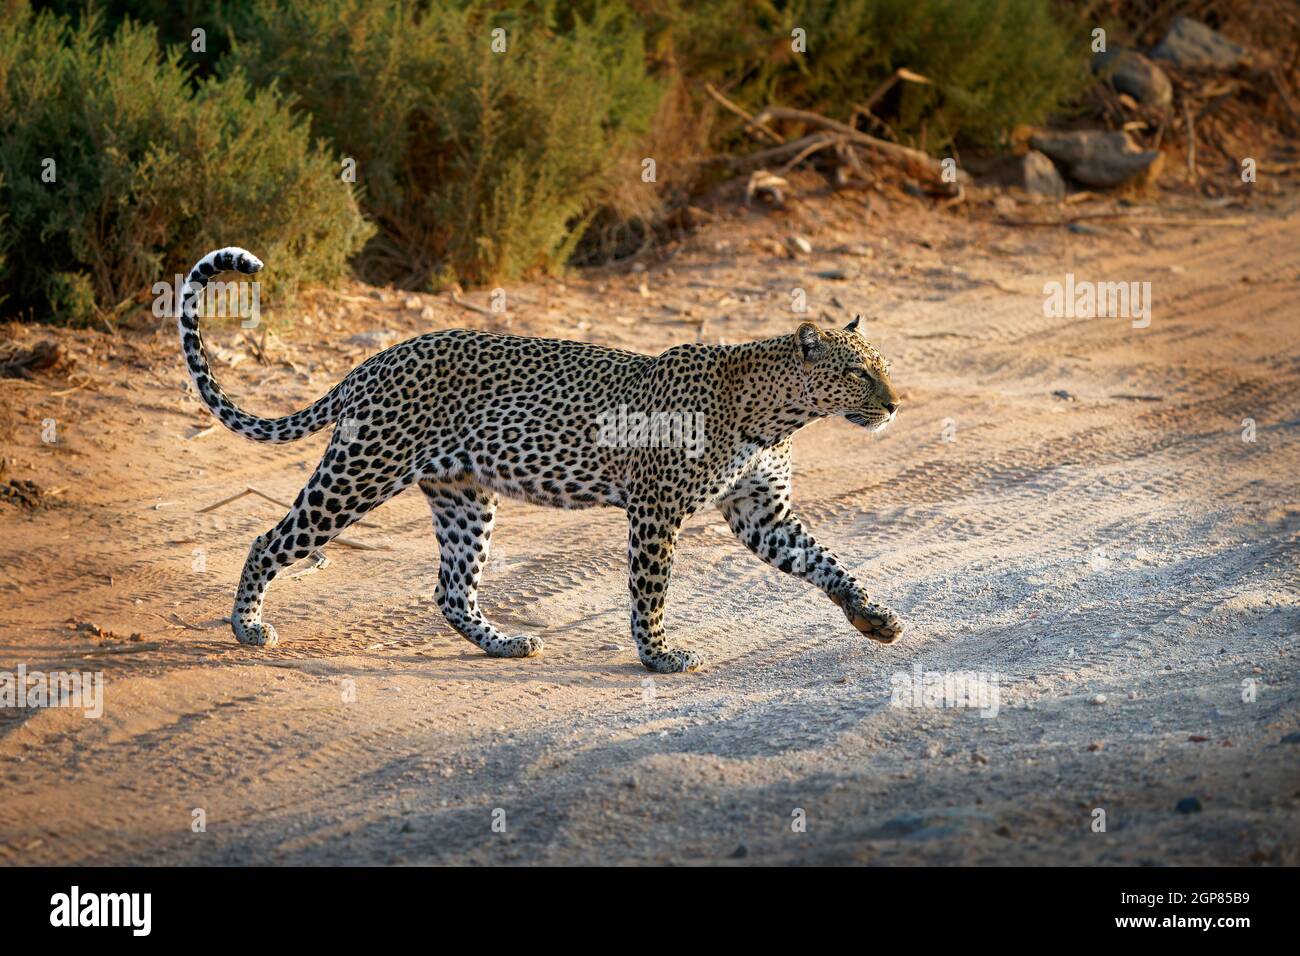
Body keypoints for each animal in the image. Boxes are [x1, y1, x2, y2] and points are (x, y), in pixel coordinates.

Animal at [177, 247, 905, 673]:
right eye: (857, 374)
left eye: (883, 368)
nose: (895, 406)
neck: (776, 414)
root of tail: (371, 362)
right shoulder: (657, 510)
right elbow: (650, 589)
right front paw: (659, 655)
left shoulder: (761, 510)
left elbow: (826, 562)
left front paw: (874, 618)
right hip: (361, 470)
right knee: (271, 539)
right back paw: (247, 627)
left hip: (463, 495)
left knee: (451, 588)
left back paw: (504, 642)